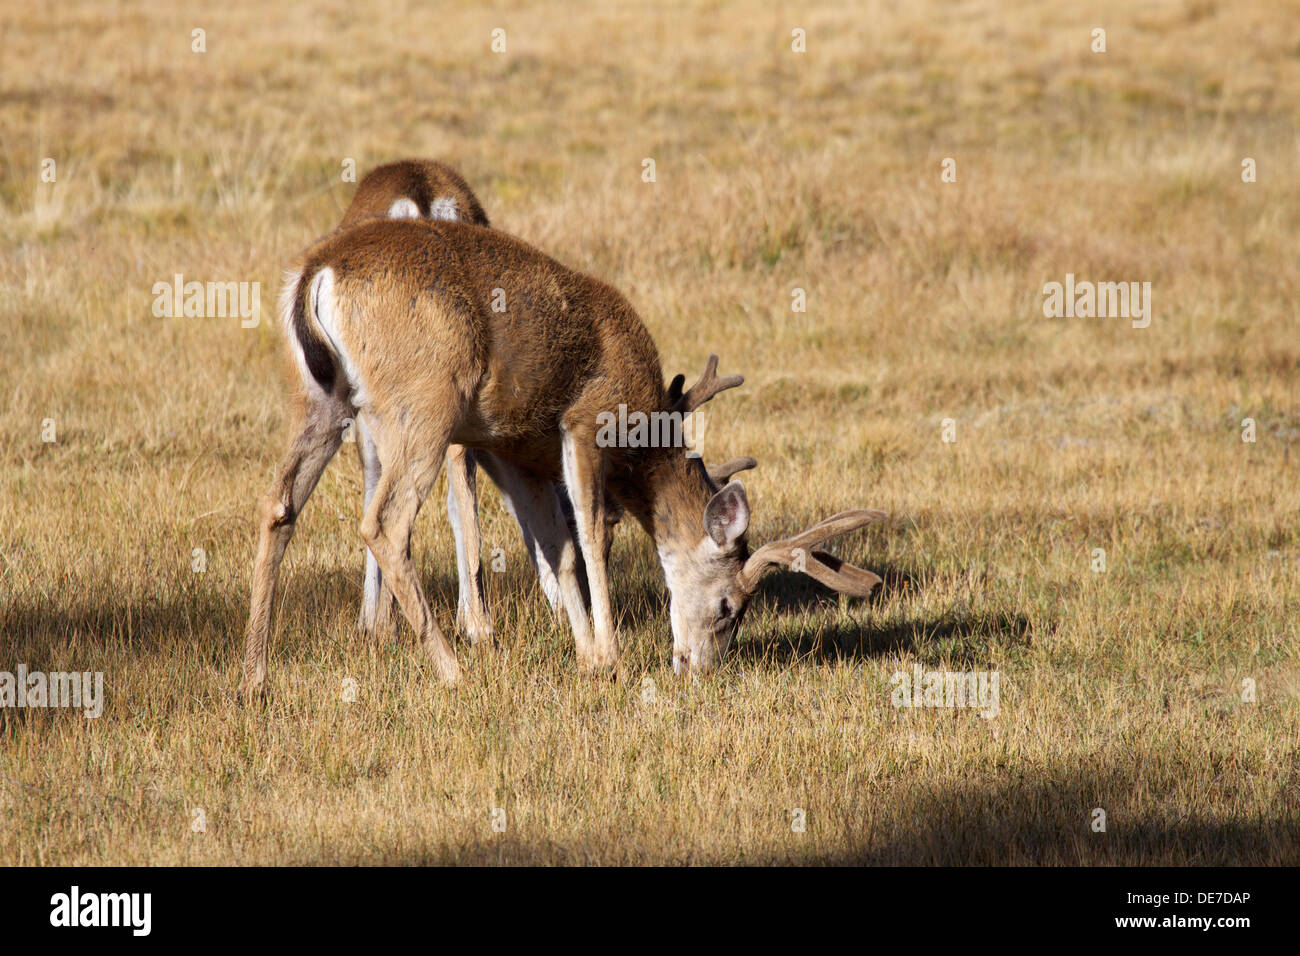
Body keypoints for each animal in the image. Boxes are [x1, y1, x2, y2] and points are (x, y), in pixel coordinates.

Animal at [240, 215, 885, 697]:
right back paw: (454, 673)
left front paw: (587, 657)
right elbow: (592, 538)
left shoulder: (511, 448)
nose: (699, 667)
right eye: (729, 606)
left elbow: (558, 548)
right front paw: (612, 657)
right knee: (385, 522)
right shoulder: (583, 422)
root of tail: (317, 273)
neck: (644, 431)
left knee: (279, 504)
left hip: (323, 399)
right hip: (423, 399)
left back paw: (254, 677)